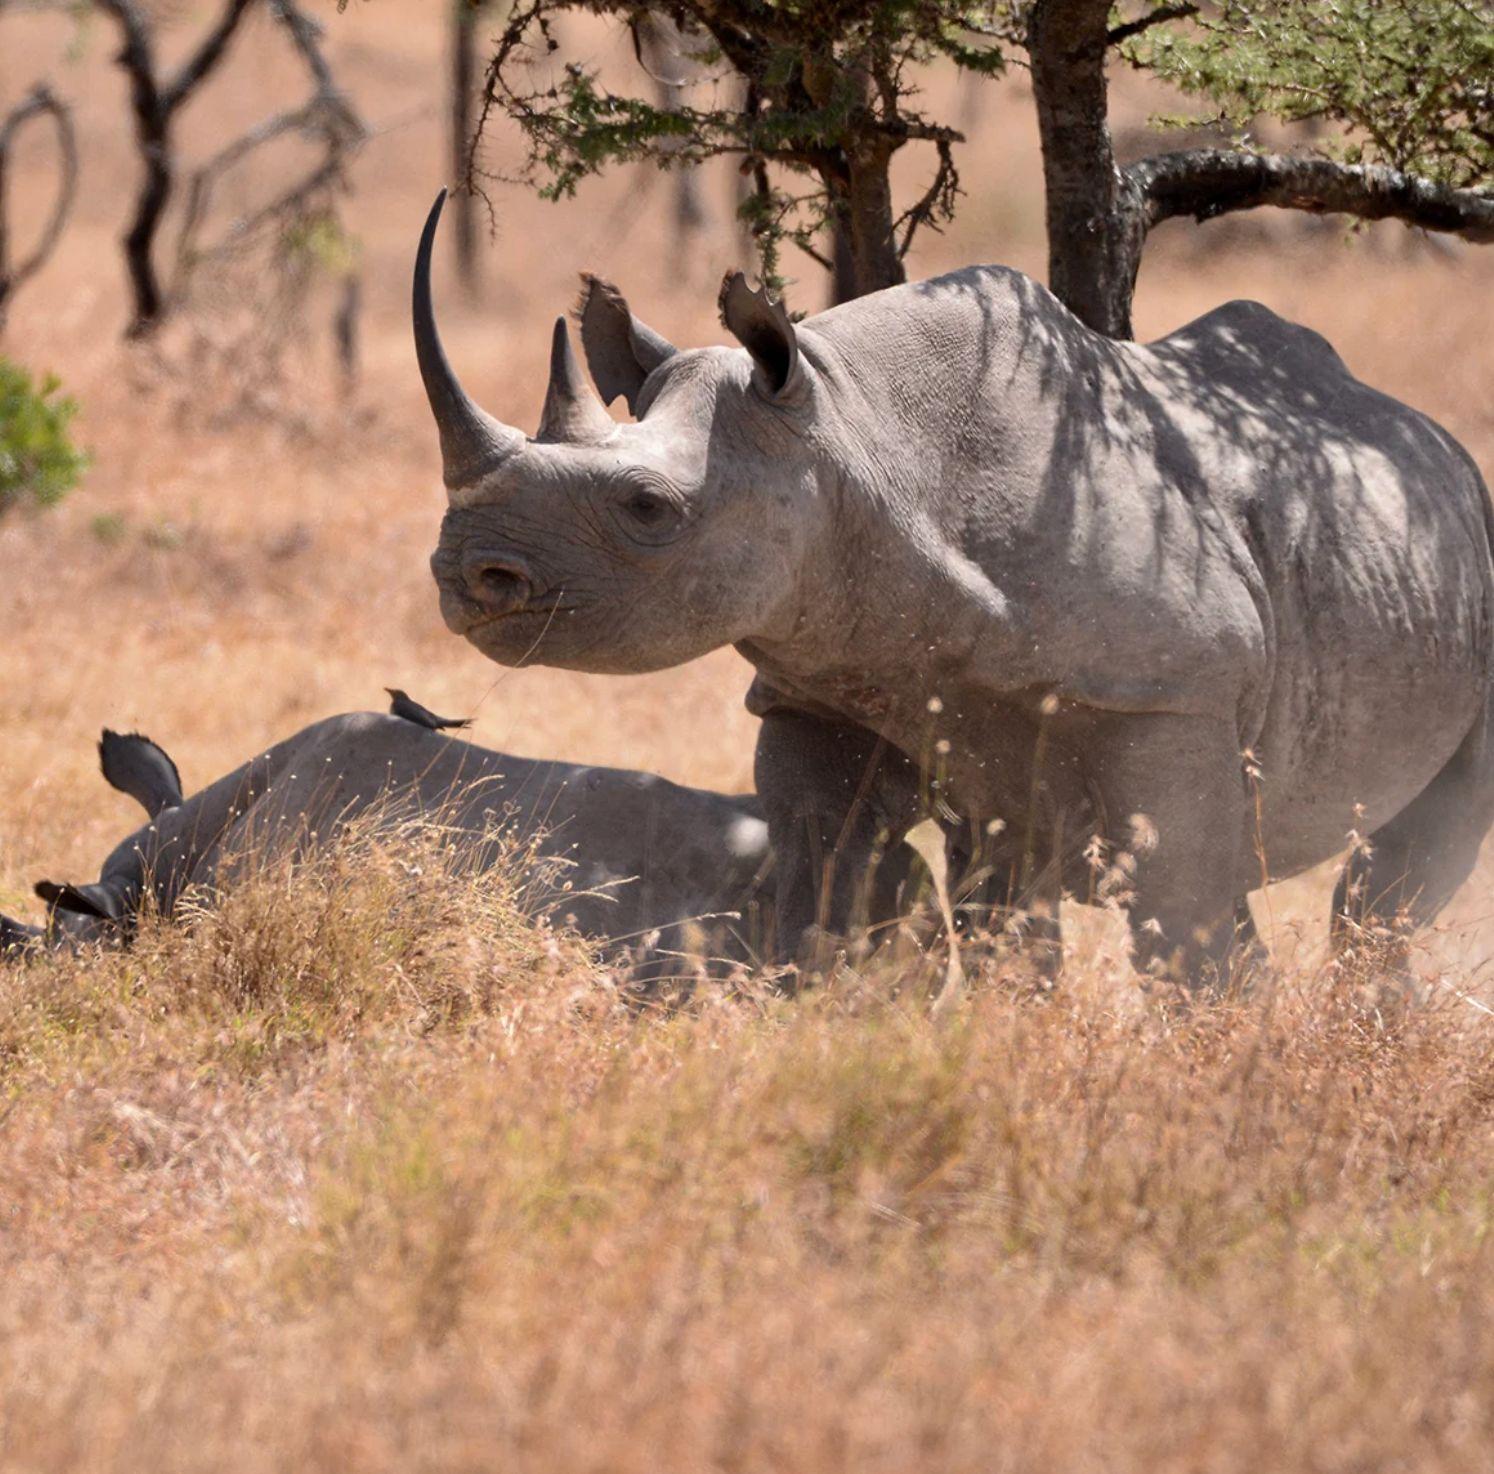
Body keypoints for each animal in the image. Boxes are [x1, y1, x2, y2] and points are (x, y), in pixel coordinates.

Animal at [413, 192, 1494, 987]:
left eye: (646, 506)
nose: (467, 573)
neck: (857, 439)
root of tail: (1436, 442)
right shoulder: (822, 680)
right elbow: (837, 890)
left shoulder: (1166, 693)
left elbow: (1177, 922)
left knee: (1374, 891)